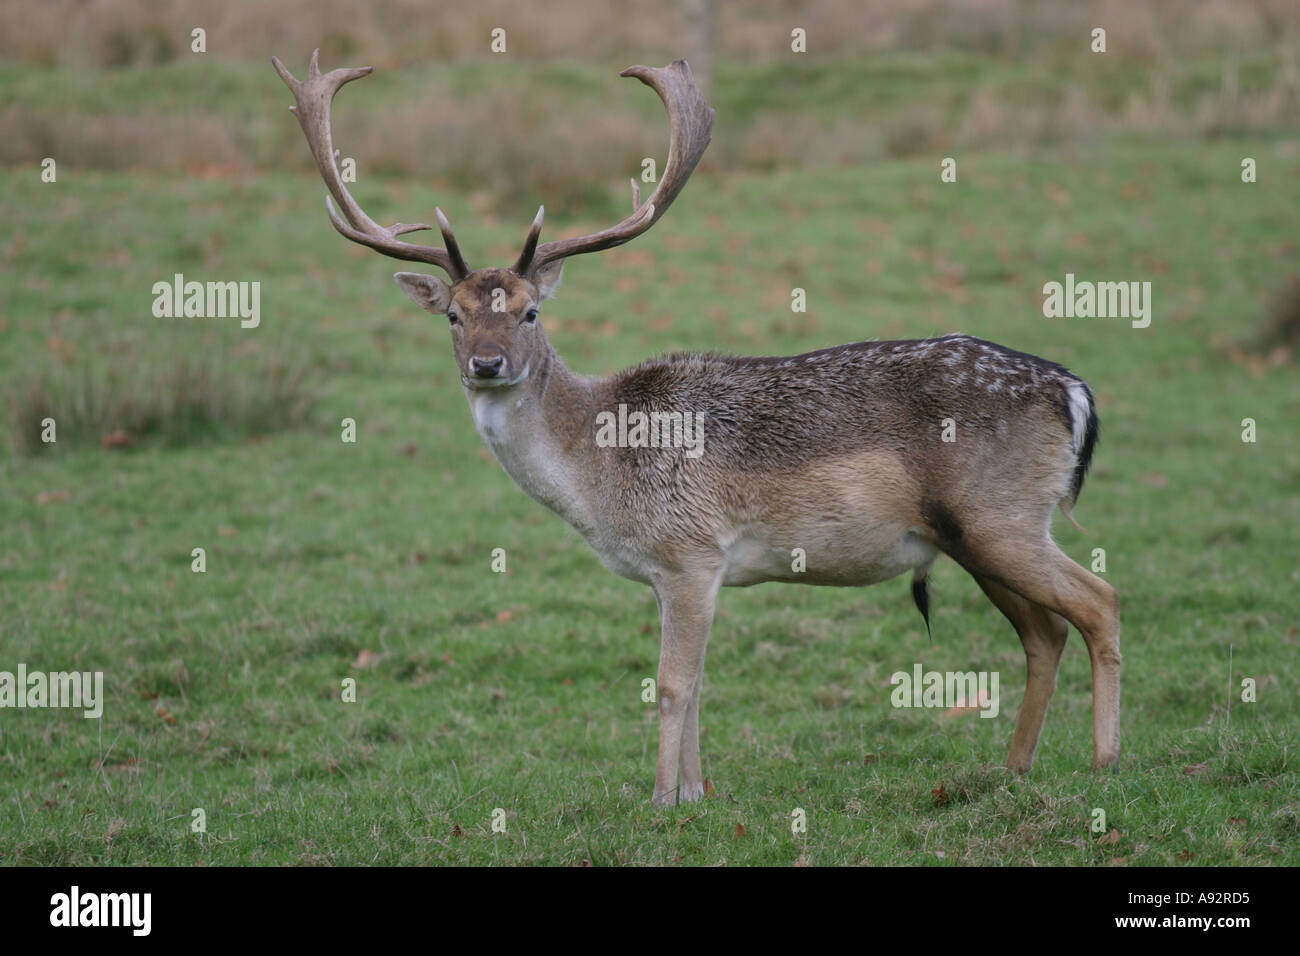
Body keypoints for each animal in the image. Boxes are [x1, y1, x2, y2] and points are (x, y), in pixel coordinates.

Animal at [273, 51, 1121, 807]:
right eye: (452, 315)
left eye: (530, 311)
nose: (487, 363)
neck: (598, 475)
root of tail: (1074, 392)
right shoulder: (673, 573)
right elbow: (702, 681)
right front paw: (697, 791)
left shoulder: (689, 553)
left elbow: (673, 682)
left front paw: (661, 799)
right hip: (973, 535)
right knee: (1045, 632)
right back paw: (1012, 770)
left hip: (999, 517)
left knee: (1100, 600)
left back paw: (1104, 764)